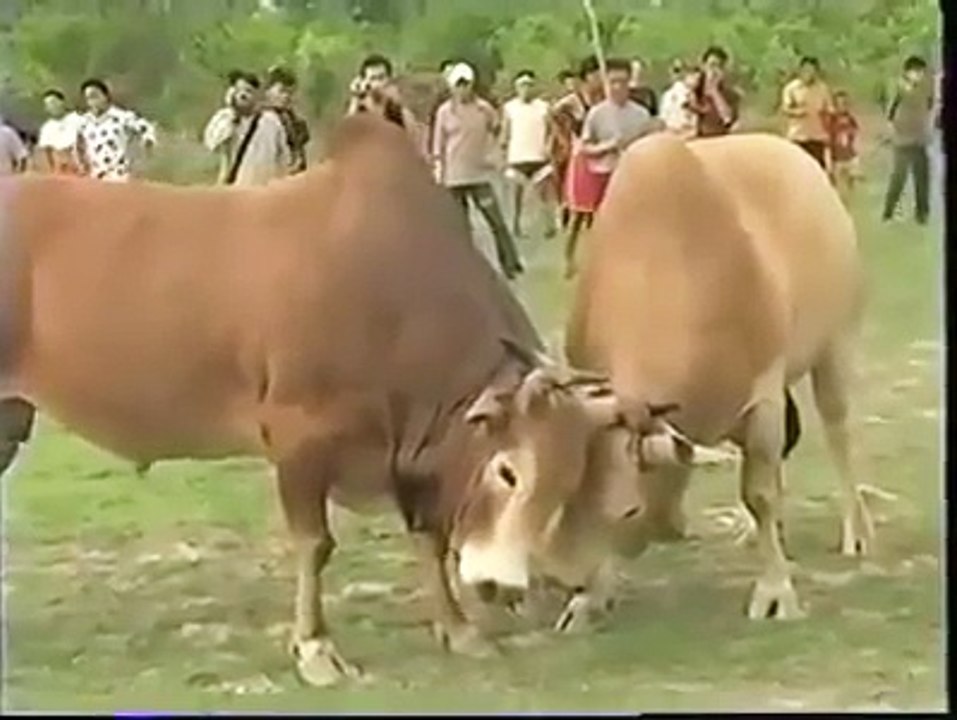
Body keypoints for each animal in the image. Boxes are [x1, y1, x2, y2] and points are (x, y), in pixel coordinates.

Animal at [0, 115, 621, 686]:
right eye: (507, 472)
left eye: (568, 480)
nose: (504, 585)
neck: (398, 297)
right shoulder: (298, 438)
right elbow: (315, 546)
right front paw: (316, 649)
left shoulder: (410, 451)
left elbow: (430, 538)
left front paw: (459, 629)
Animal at [456, 131, 875, 629]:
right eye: (565, 490)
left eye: (627, 510)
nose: (565, 580)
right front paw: (593, 596)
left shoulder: (764, 399)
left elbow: (760, 493)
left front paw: (775, 590)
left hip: (834, 345)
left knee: (838, 434)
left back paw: (854, 527)